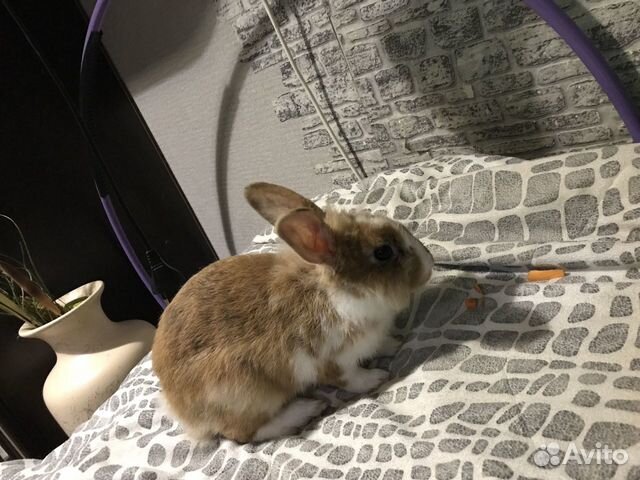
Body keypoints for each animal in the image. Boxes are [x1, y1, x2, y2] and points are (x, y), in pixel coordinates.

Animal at [152, 182, 433, 443]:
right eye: (383, 252)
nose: (429, 264)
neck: (338, 292)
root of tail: (178, 407)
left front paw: (395, 343)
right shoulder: (329, 360)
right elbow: (349, 379)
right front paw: (376, 377)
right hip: (246, 392)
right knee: (243, 434)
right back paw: (306, 409)